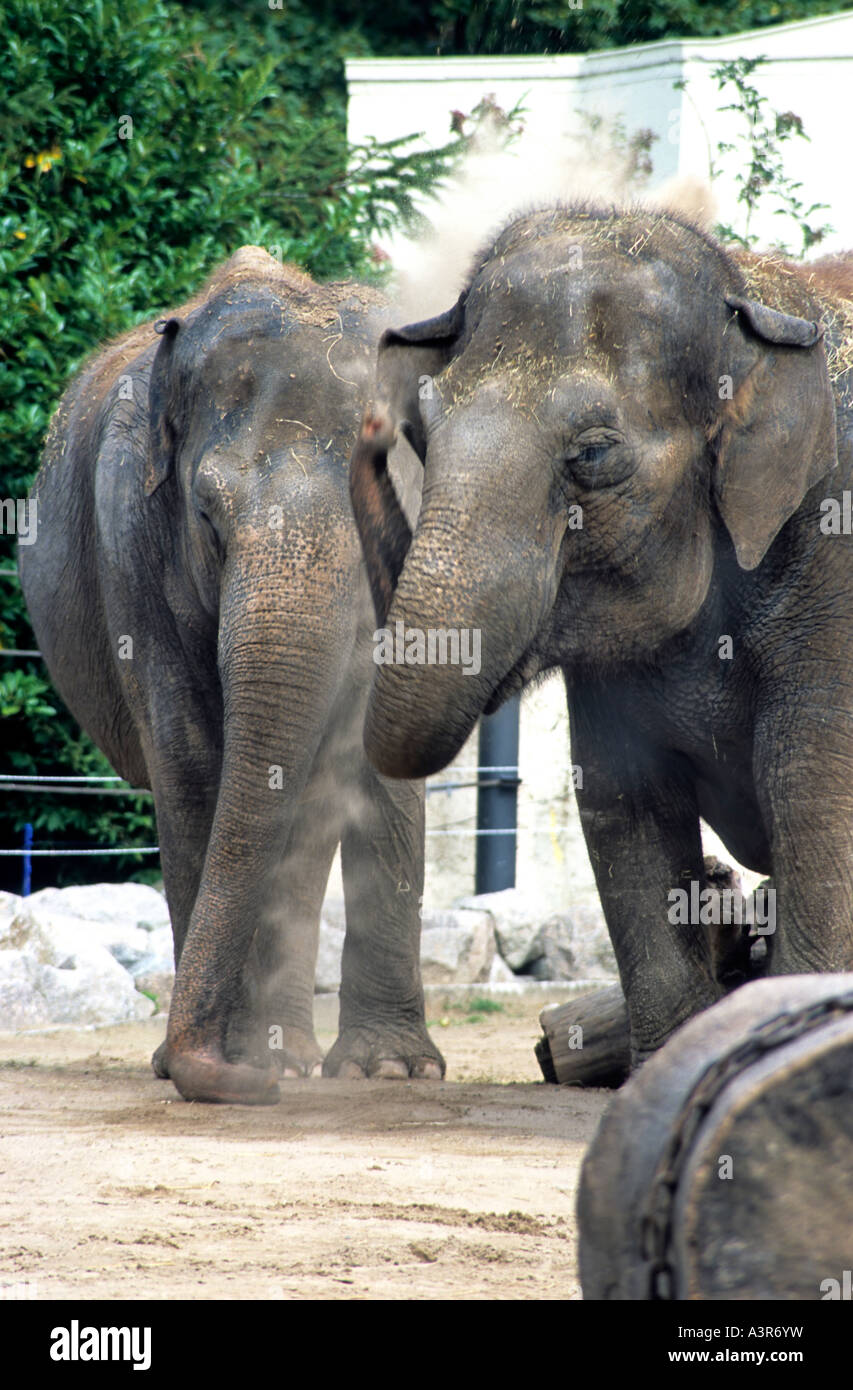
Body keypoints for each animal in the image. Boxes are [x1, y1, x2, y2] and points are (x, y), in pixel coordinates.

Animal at [20, 246, 444, 1104]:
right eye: (209, 518)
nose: (238, 1083)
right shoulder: (130, 531)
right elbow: (188, 761)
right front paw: (239, 1062)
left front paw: (389, 1070)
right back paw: (269, 1057)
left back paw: (292, 1058)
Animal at [349, 204, 853, 1068]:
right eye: (424, 428)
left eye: (590, 454)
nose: (371, 422)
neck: (747, 294)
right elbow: (622, 797)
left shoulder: (837, 568)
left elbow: (812, 787)